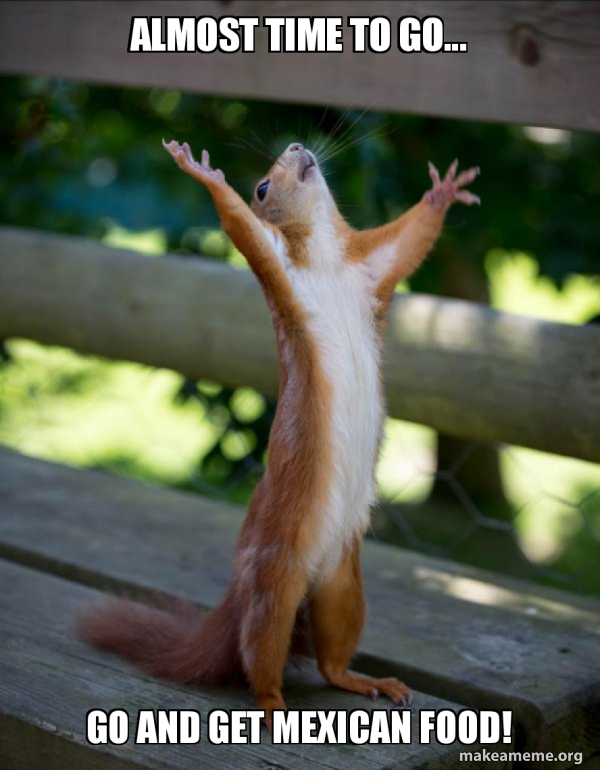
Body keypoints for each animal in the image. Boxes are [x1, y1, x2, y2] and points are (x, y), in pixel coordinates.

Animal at [78, 138, 479, 730]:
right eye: (262, 187)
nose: (296, 146)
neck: (326, 257)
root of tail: (240, 595)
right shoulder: (277, 265)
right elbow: (240, 226)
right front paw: (204, 173)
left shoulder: (371, 267)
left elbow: (409, 240)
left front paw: (443, 192)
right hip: (274, 583)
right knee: (259, 655)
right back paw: (272, 704)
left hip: (344, 587)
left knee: (331, 660)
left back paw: (367, 680)